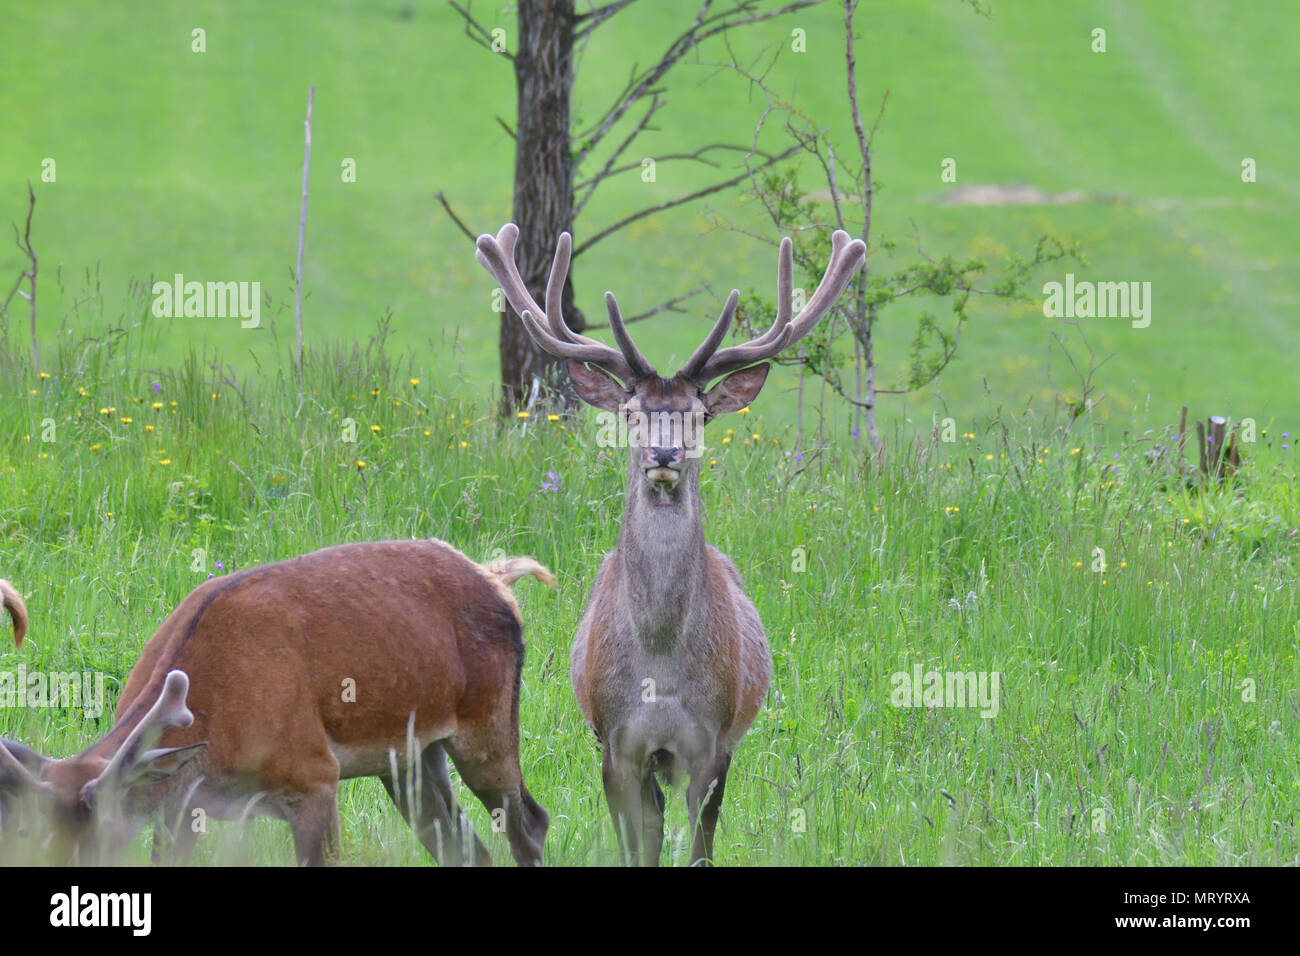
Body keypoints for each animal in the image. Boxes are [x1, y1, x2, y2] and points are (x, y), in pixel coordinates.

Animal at [0, 540, 553, 866]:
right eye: (24, 835)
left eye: (90, 840)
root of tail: (498, 579)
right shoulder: (182, 808)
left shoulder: (313, 775)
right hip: (410, 756)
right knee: (464, 846)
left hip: (487, 723)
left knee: (529, 822)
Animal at [476, 222, 865, 865]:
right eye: (632, 412)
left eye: (700, 414)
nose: (664, 452)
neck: (659, 665)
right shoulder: (615, 743)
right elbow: (635, 843)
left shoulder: (713, 743)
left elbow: (701, 844)